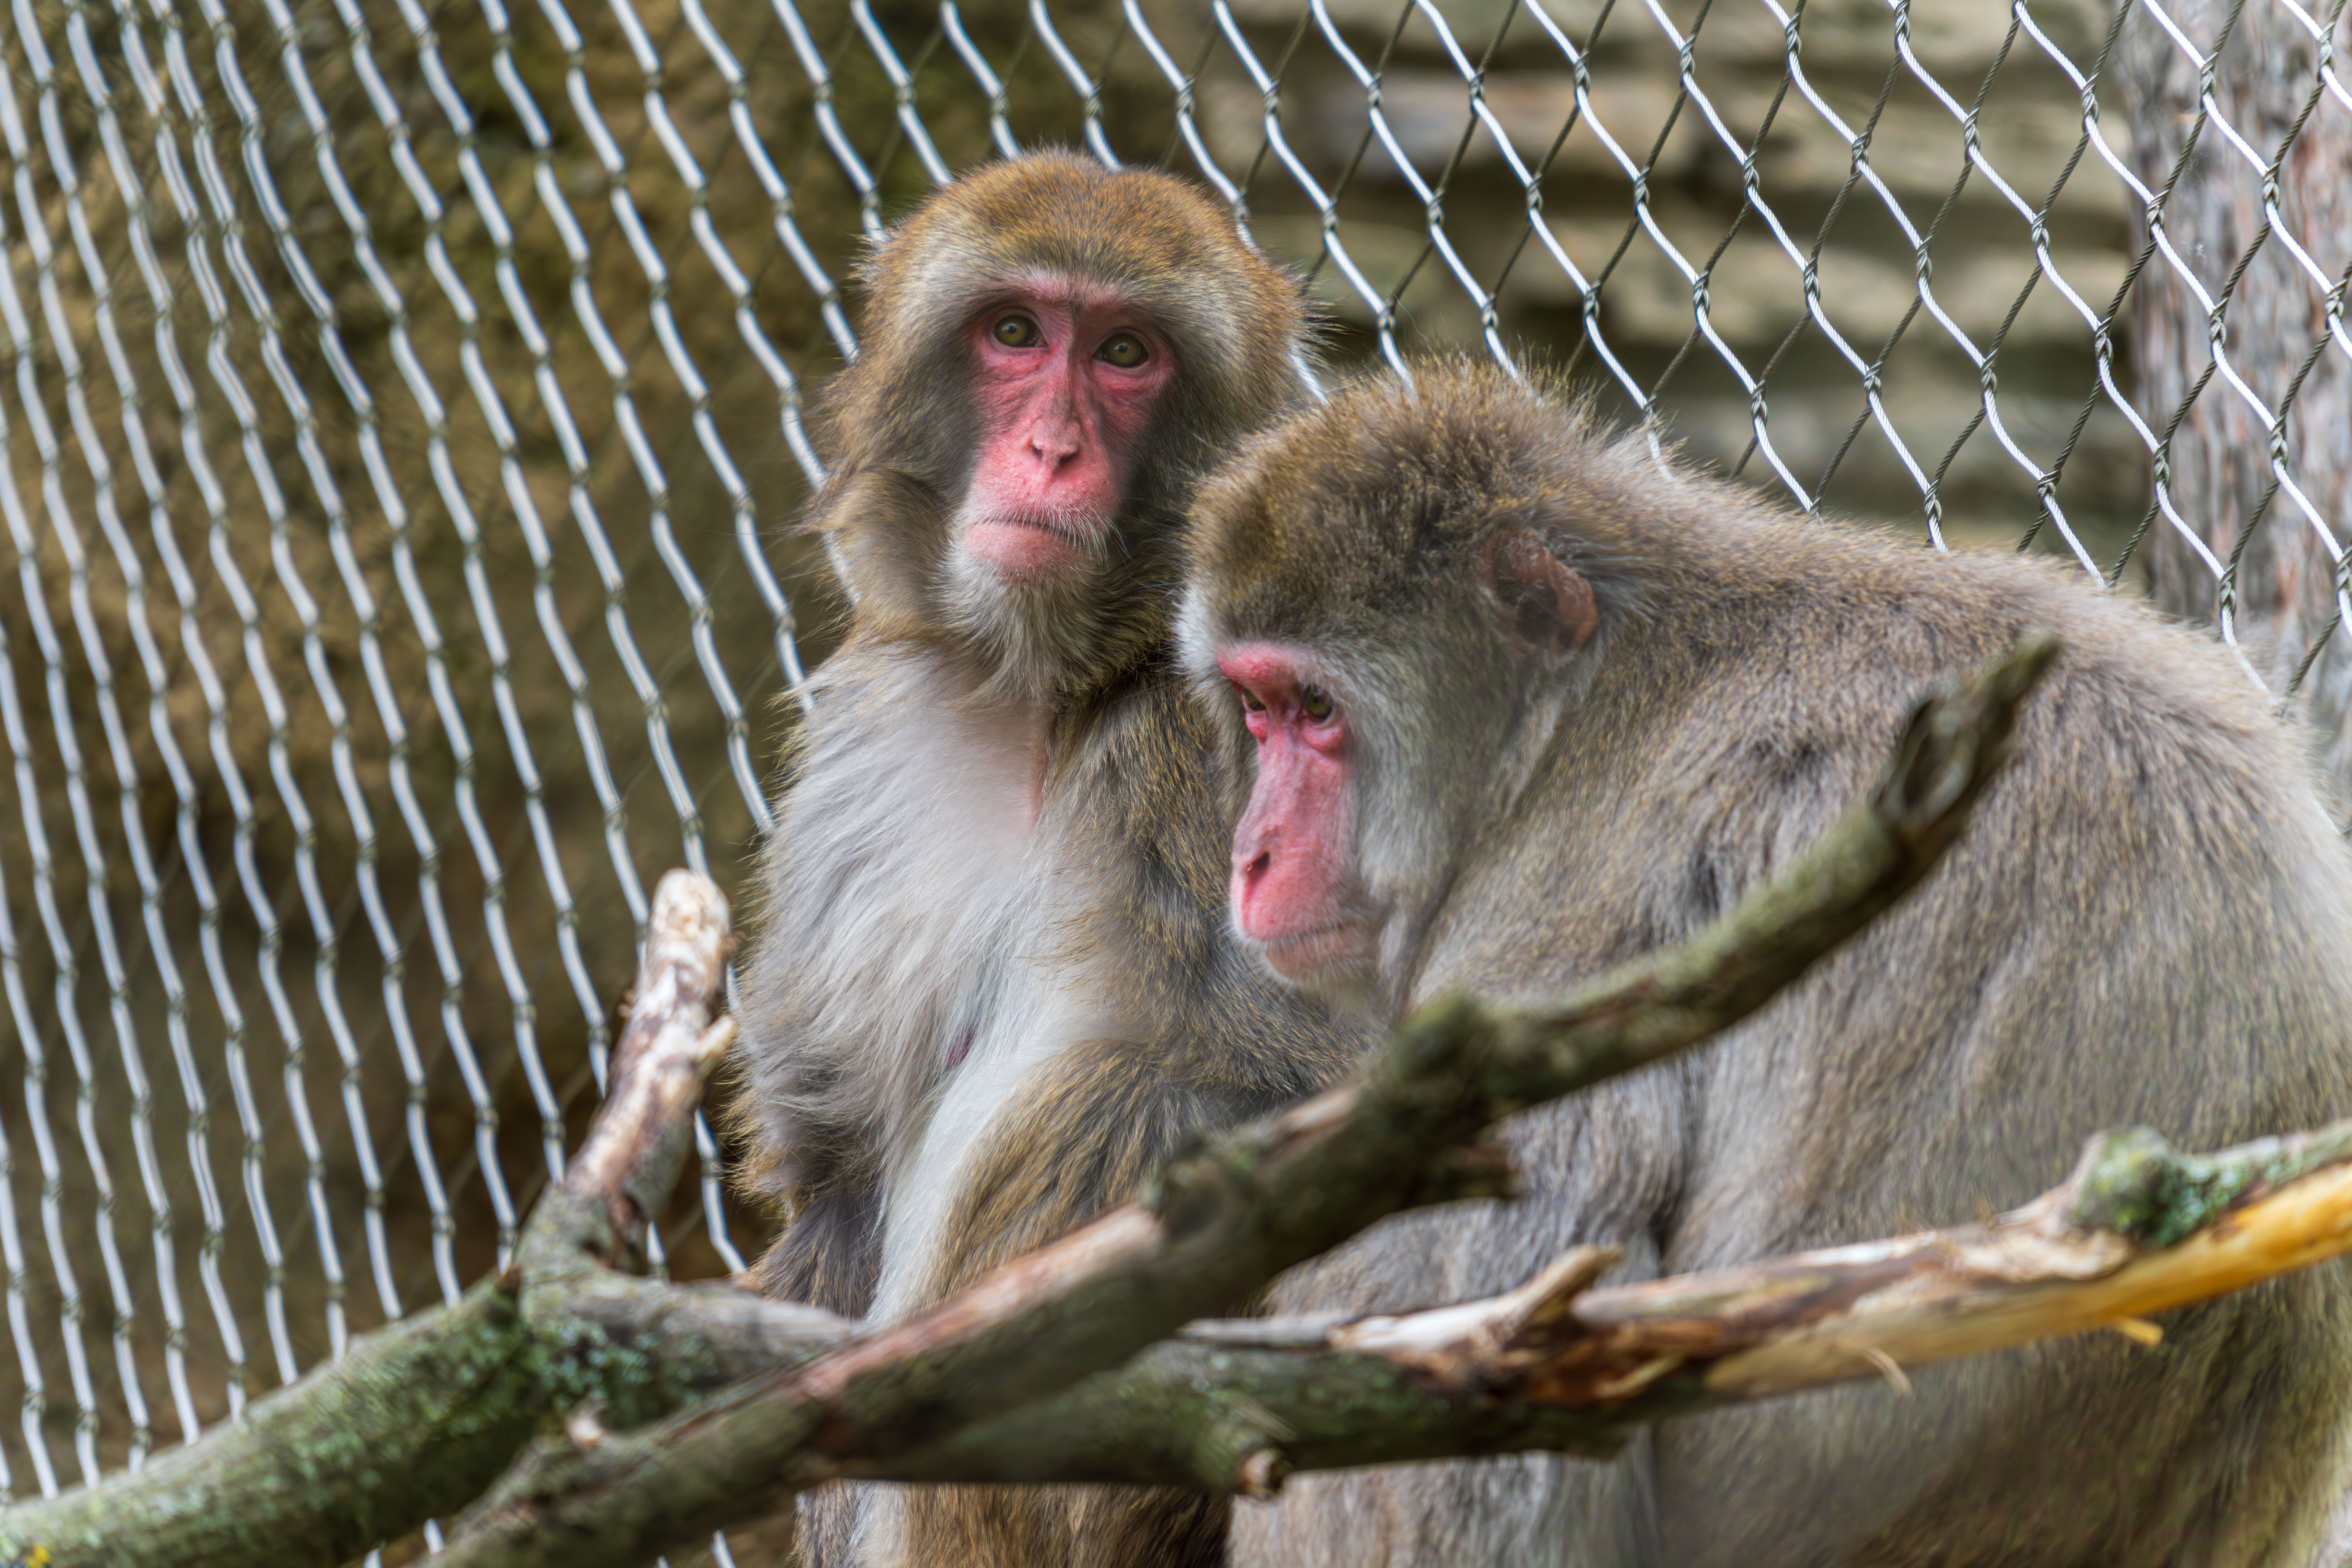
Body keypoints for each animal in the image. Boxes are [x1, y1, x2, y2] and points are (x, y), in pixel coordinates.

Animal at [724, 152, 1368, 1568]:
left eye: (1126, 353)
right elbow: (838, 1178)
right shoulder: (869, 741)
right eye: (1014, 332)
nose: (1051, 449)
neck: (1053, 688)